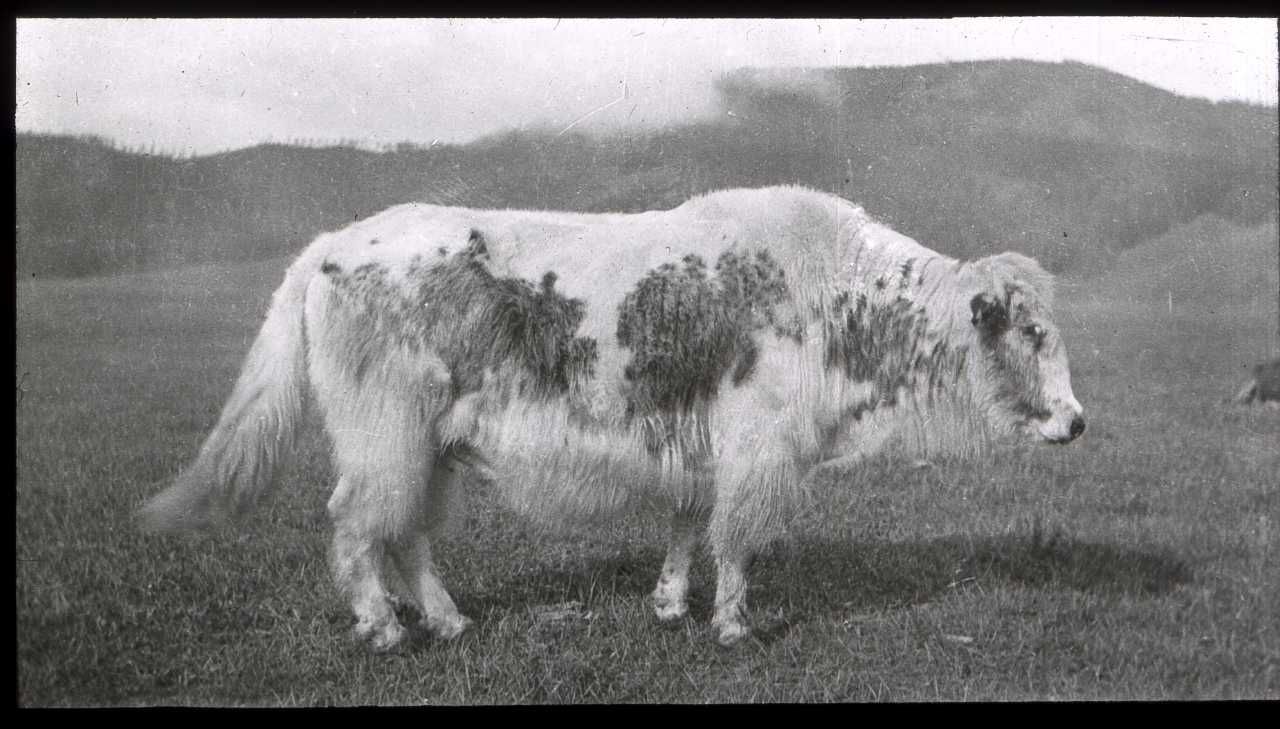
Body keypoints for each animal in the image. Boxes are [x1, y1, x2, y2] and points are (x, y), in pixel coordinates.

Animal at [138, 186, 1086, 650]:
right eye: (1032, 332)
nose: (1077, 422)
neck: (834, 292)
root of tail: (331, 246)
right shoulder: (757, 446)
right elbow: (736, 535)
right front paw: (734, 626)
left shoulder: (701, 448)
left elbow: (688, 521)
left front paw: (668, 604)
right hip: (387, 434)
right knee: (355, 524)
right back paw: (383, 630)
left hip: (429, 446)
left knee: (406, 532)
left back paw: (446, 620)